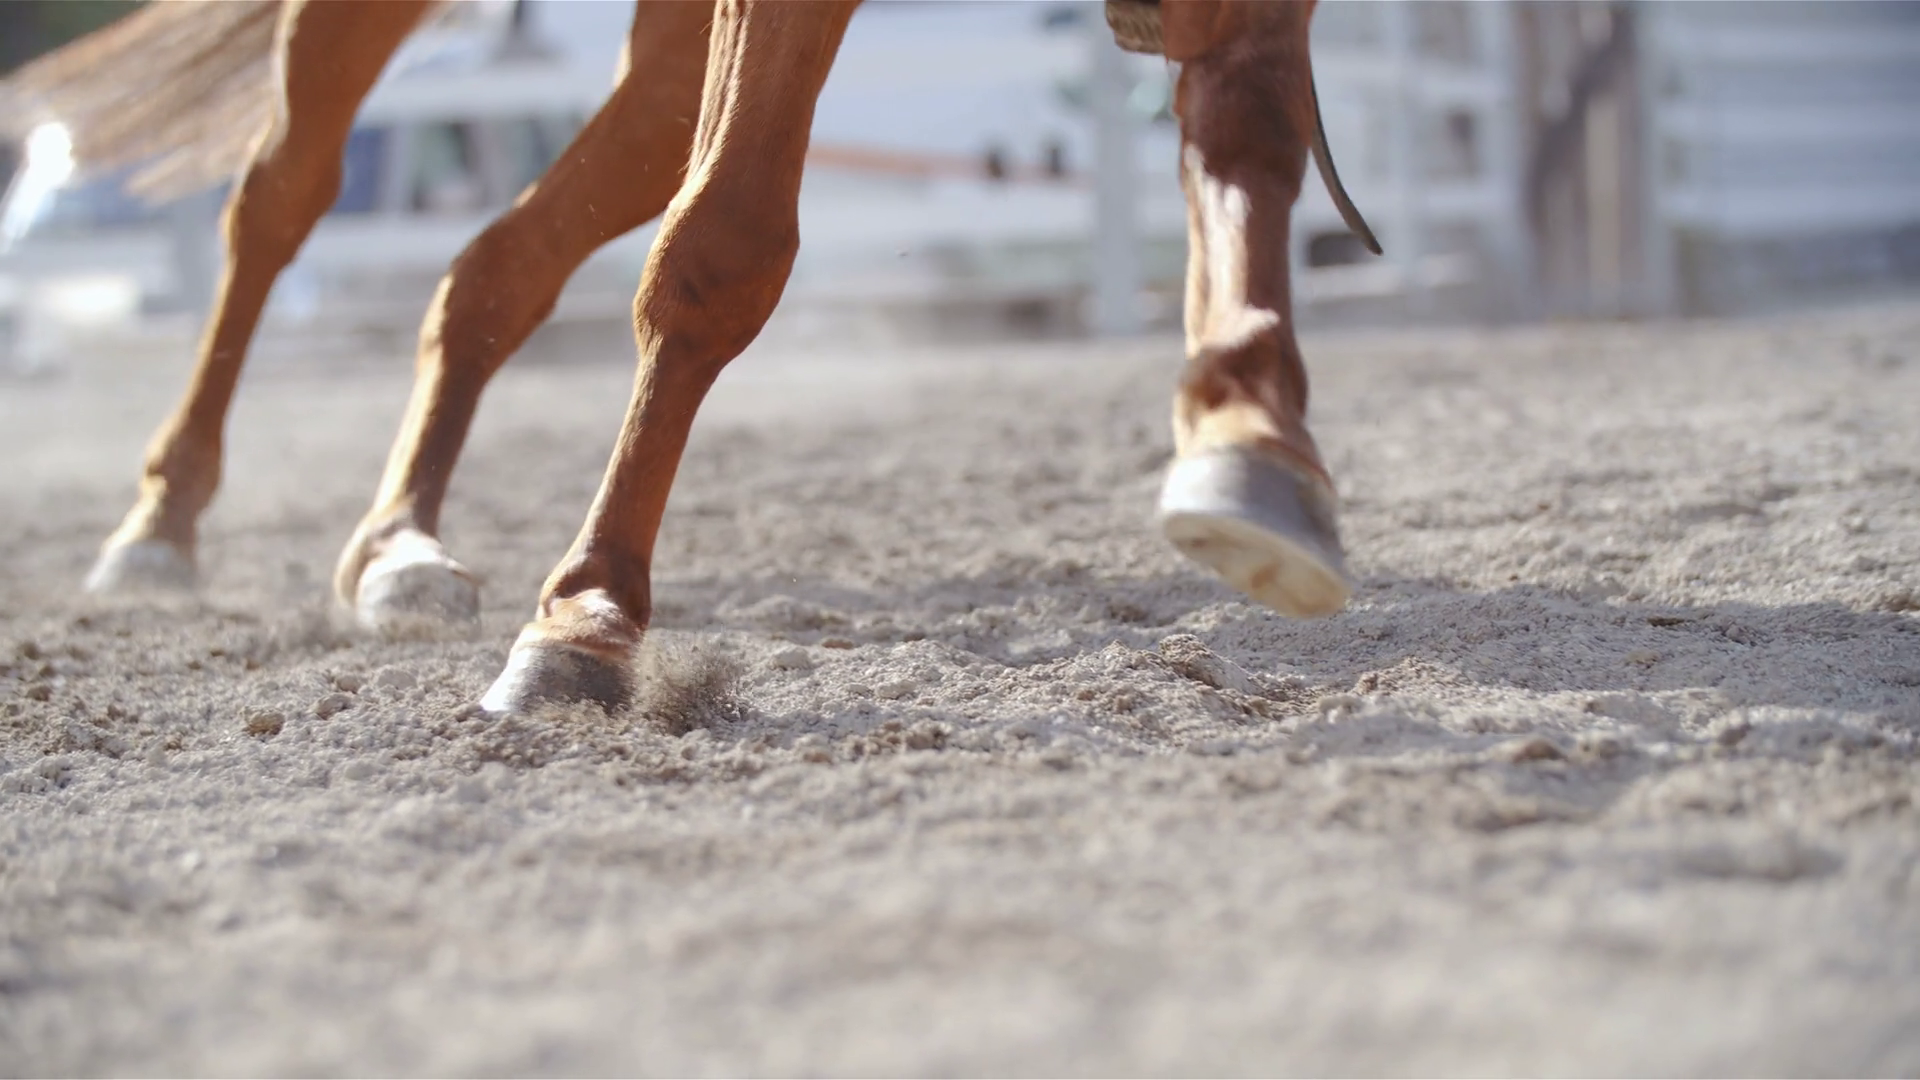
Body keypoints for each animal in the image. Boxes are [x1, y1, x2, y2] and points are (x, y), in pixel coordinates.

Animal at [4, 0, 1378, 716]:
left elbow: (1251, 128)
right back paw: (161, 525)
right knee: (277, 202)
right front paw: (585, 618)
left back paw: (400, 545)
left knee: (496, 267)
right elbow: (724, 250)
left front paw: (1251, 445)